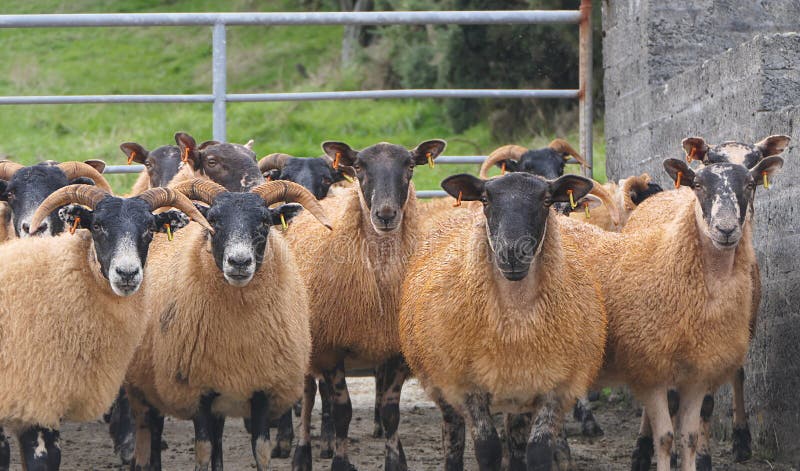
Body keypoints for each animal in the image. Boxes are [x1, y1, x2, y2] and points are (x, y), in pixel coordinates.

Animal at [124, 178, 331, 471]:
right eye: (213, 221)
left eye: (265, 222)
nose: (239, 262)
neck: (236, 336)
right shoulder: (196, 391)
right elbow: (203, 449)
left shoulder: (262, 390)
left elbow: (260, 450)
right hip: (144, 388)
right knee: (150, 431)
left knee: (217, 439)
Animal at [286, 139, 446, 471]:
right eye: (359, 167)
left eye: (410, 166)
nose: (385, 214)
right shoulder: (331, 349)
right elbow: (342, 411)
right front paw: (340, 462)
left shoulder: (395, 350)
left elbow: (390, 413)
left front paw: (395, 461)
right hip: (307, 340)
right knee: (308, 396)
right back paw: (302, 453)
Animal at [399, 172, 607, 470]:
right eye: (485, 199)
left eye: (546, 200)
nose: (512, 253)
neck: (515, 326)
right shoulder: (468, 387)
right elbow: (488, 449)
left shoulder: (554, 387)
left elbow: (537, 452)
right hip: (442, 382)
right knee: (453, 435)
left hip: (517, 393)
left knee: (515, 440)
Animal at [558, 154, 784, 471]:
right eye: (699, 185)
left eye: (751, 184)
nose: (726, 229)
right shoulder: (654, 361)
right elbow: (665, 431)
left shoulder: (709, 358)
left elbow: (694, 424)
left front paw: (701, 456)